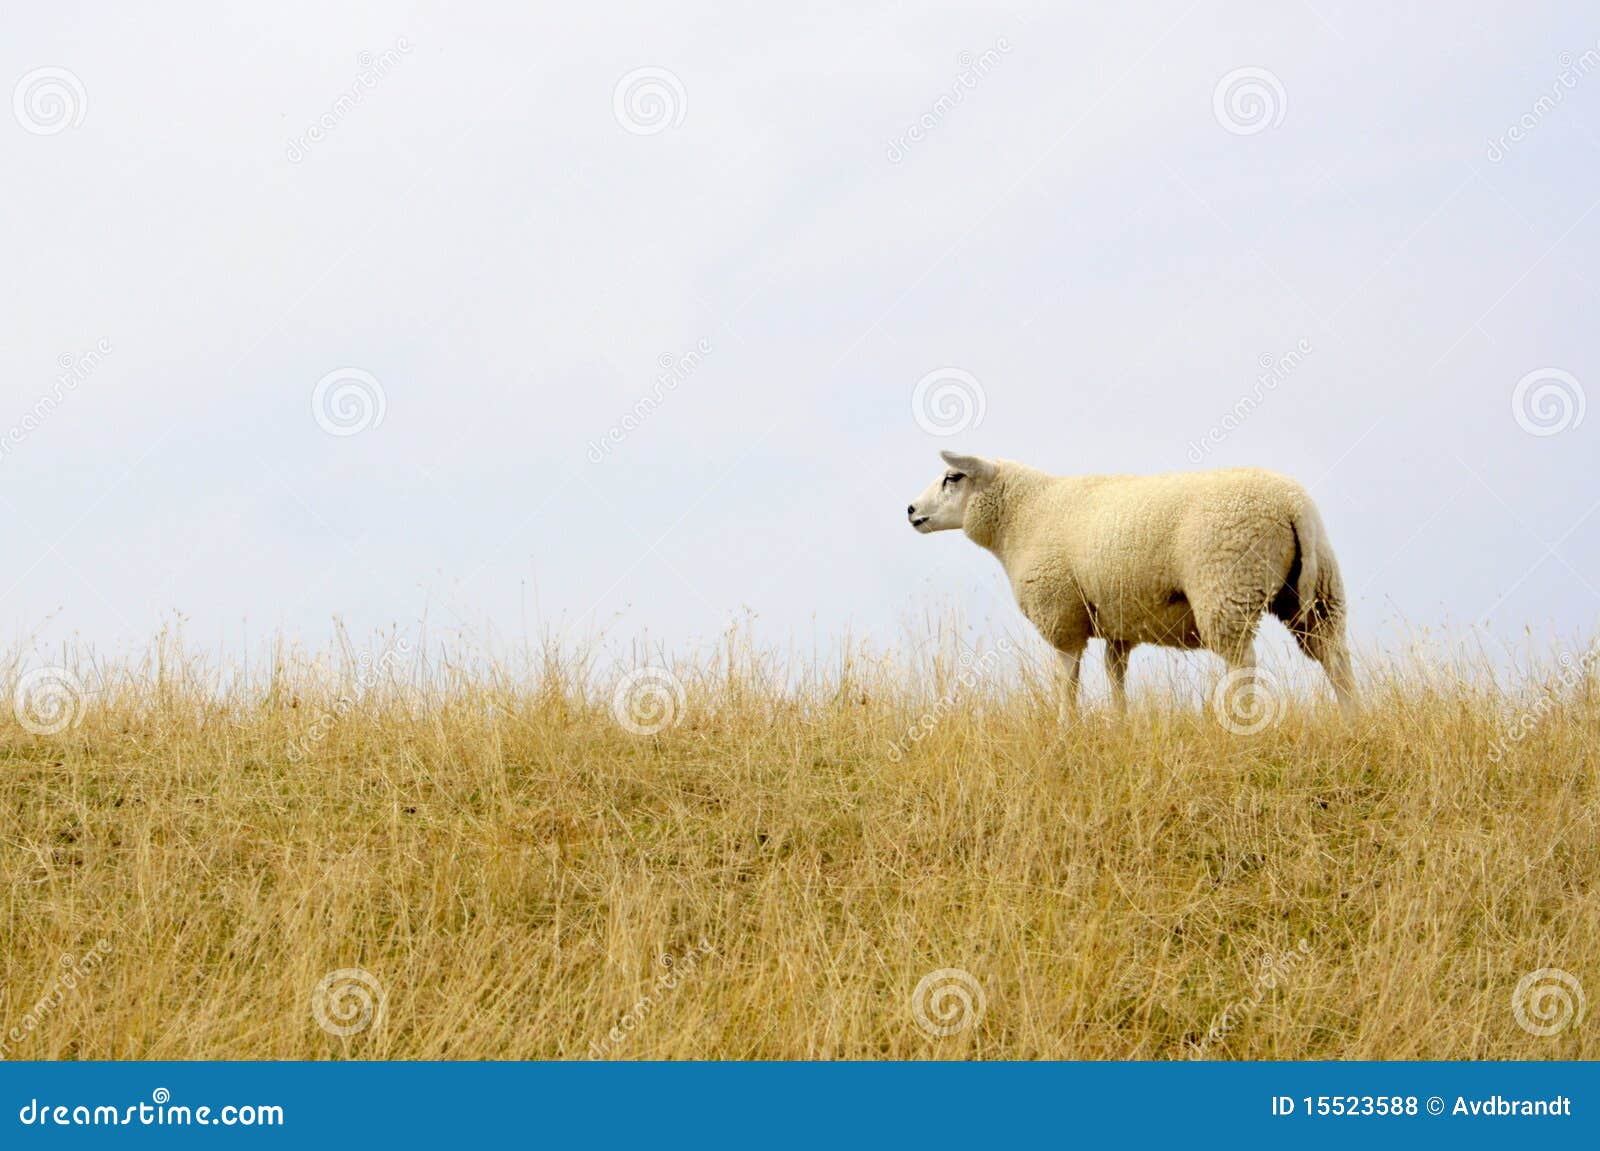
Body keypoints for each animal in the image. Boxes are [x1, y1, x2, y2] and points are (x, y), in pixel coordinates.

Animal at [906, 450, 1356, 720]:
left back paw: (1237, 721)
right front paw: (1120, 722)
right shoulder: (1116, 622)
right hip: (1319, 594)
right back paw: (1350, 718)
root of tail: (1292, 504)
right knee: (1334, 658)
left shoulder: (1061, 615)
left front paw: (1065, 727)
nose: (910, 510)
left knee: (1243, 664)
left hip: (1226, 587)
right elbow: (1115, 674)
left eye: (952, 477)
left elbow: (1067, 678)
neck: (1025, 515)